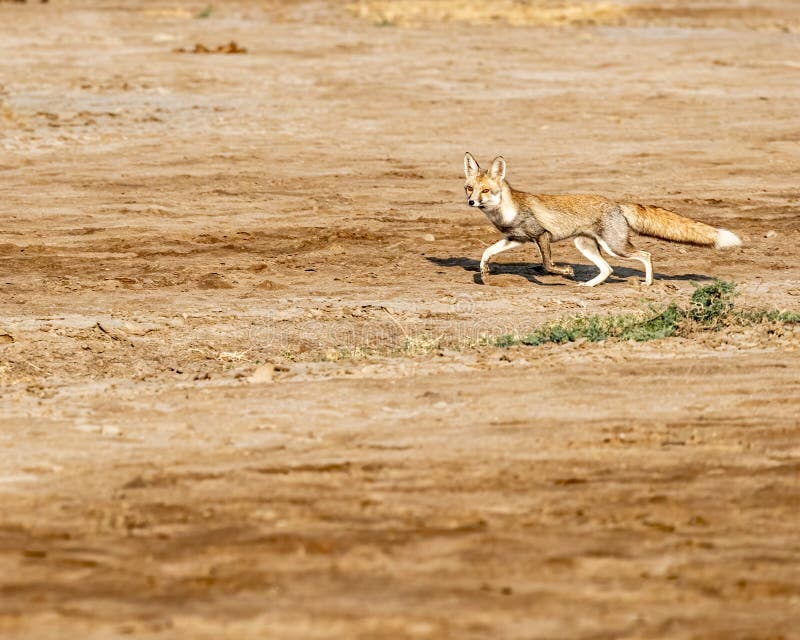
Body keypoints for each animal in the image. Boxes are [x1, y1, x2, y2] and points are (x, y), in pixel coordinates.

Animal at [463, 152, 742, 287]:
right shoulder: (516, 239)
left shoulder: (541, 235)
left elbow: (547, 265)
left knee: (645, 255)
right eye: (469, 188)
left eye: (485, 191)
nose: (471, 202)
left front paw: (564, 271)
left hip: (615, 247)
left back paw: (648, 282)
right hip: (586, 245)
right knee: (607, 269)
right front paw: (484, 274)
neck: (506, 211)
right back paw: (588, 286)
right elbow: (487, 253)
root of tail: (617, 203)